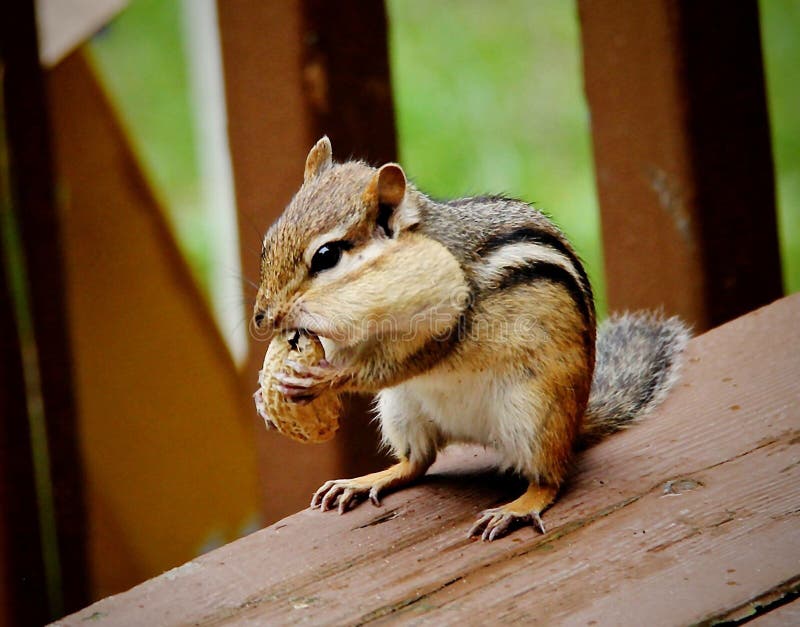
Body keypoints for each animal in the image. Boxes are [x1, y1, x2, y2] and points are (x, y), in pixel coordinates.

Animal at [253, 136, 690, 541]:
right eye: (266, 245)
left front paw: (321, 378)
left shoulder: (446, 321)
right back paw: (366, 481)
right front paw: (264, 398)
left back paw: (517, 507)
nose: (262, 317)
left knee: (550, 477)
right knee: (417, 462)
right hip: (402, 409)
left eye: (326, 256)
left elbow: (396, 363)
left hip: (534, 415)